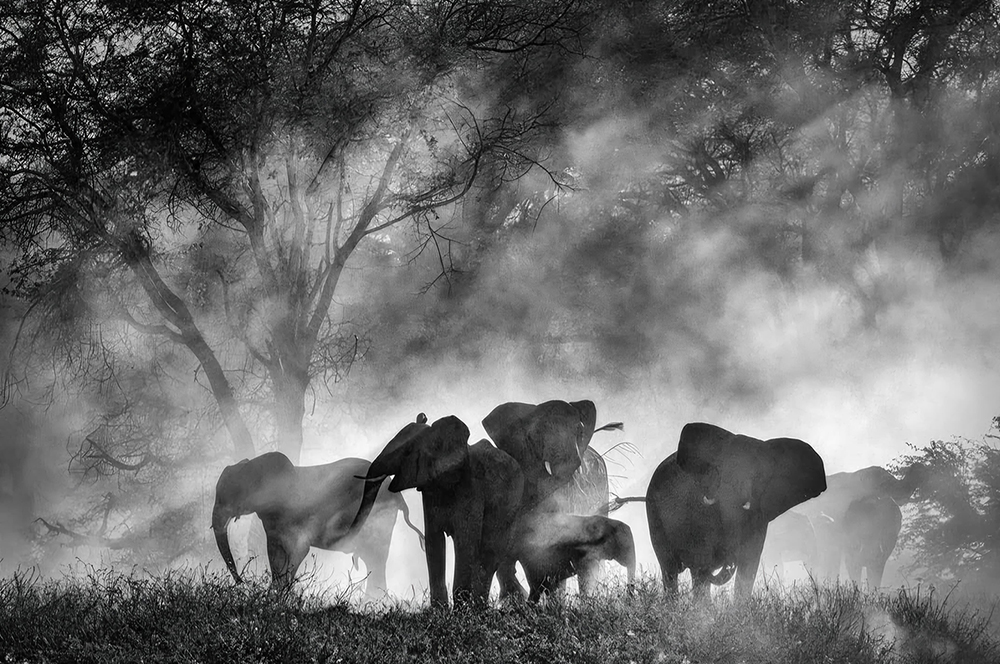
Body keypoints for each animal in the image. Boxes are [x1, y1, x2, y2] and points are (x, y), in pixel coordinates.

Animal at [212, 453, 424, 594]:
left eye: (233, 494)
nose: (242, 583)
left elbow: (298, 550)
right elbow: (274, 554)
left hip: (379, 518)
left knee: (376, 558)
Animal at [350, 414, 524, 608]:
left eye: (408, 451)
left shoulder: (471, 487)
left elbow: (465, 541)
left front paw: (461, 610)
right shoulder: (430, 489)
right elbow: (434, 541)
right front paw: (439, 610)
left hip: (511, 506)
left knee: (489, 553)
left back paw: (479, 608)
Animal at [646, 422, 827, 599]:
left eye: (758, 477)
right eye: (720, 471)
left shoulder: (759, 516)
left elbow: (748, 565)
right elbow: (701, 562)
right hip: (654, 514)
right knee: (670, 570)